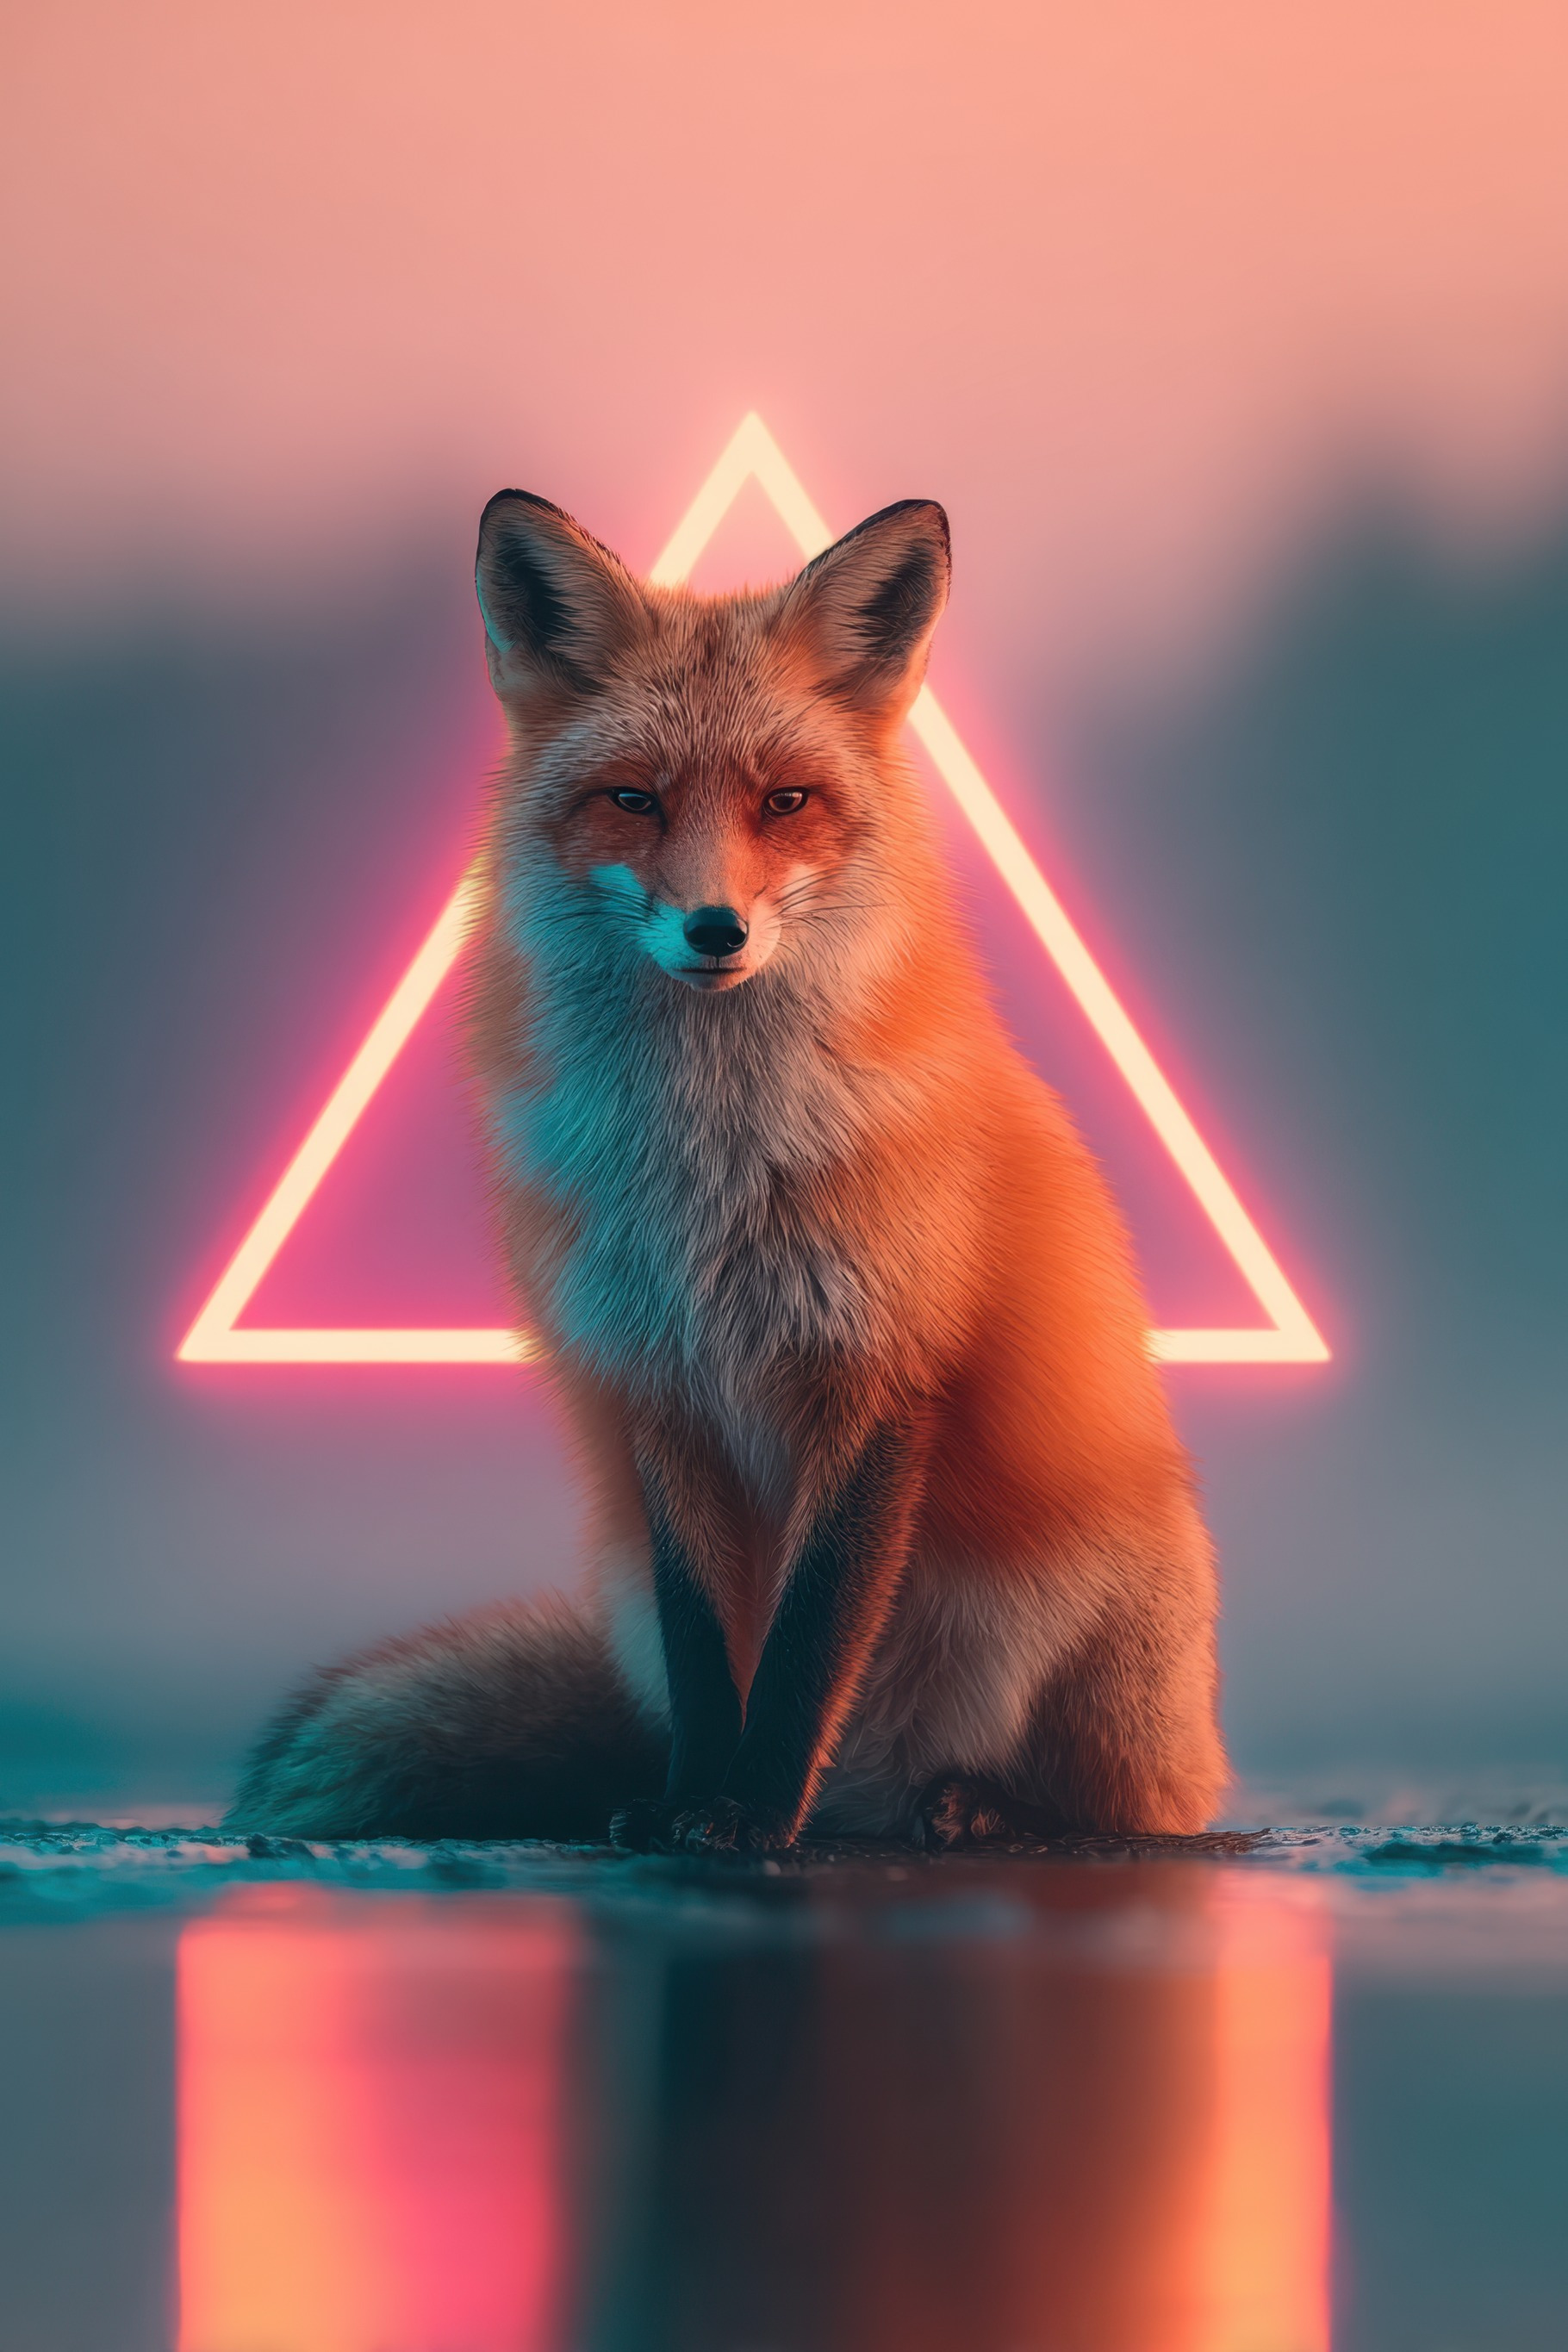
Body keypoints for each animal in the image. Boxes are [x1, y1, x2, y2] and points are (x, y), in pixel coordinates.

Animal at [228, 488, 1227, 1852]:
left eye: (786, 800)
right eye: (634, 800)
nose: (715, 928)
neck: (708, 1170)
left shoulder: (874, 1372)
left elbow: (808, 1639)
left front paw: (752, 1815)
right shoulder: (660, 1382)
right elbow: (711, 1649)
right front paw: (690, 1803)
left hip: (1084, 1607)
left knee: (1131, 1807)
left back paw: (975, 1804)